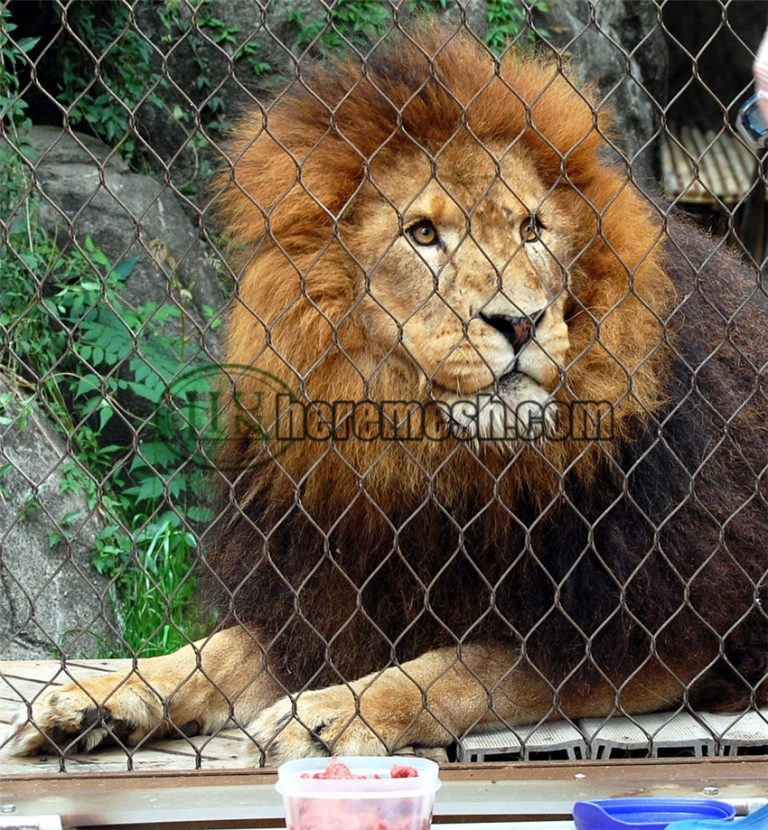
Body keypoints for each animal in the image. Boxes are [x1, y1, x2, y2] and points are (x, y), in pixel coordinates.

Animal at [8, 26, 768, 766]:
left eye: (531, 228)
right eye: (423, 233)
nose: (521, 322)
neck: (432, 465)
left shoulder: (658, 634)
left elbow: (465, 668)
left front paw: (329, 714)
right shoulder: (331, 593)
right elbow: (210, 654)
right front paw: (95, 695)